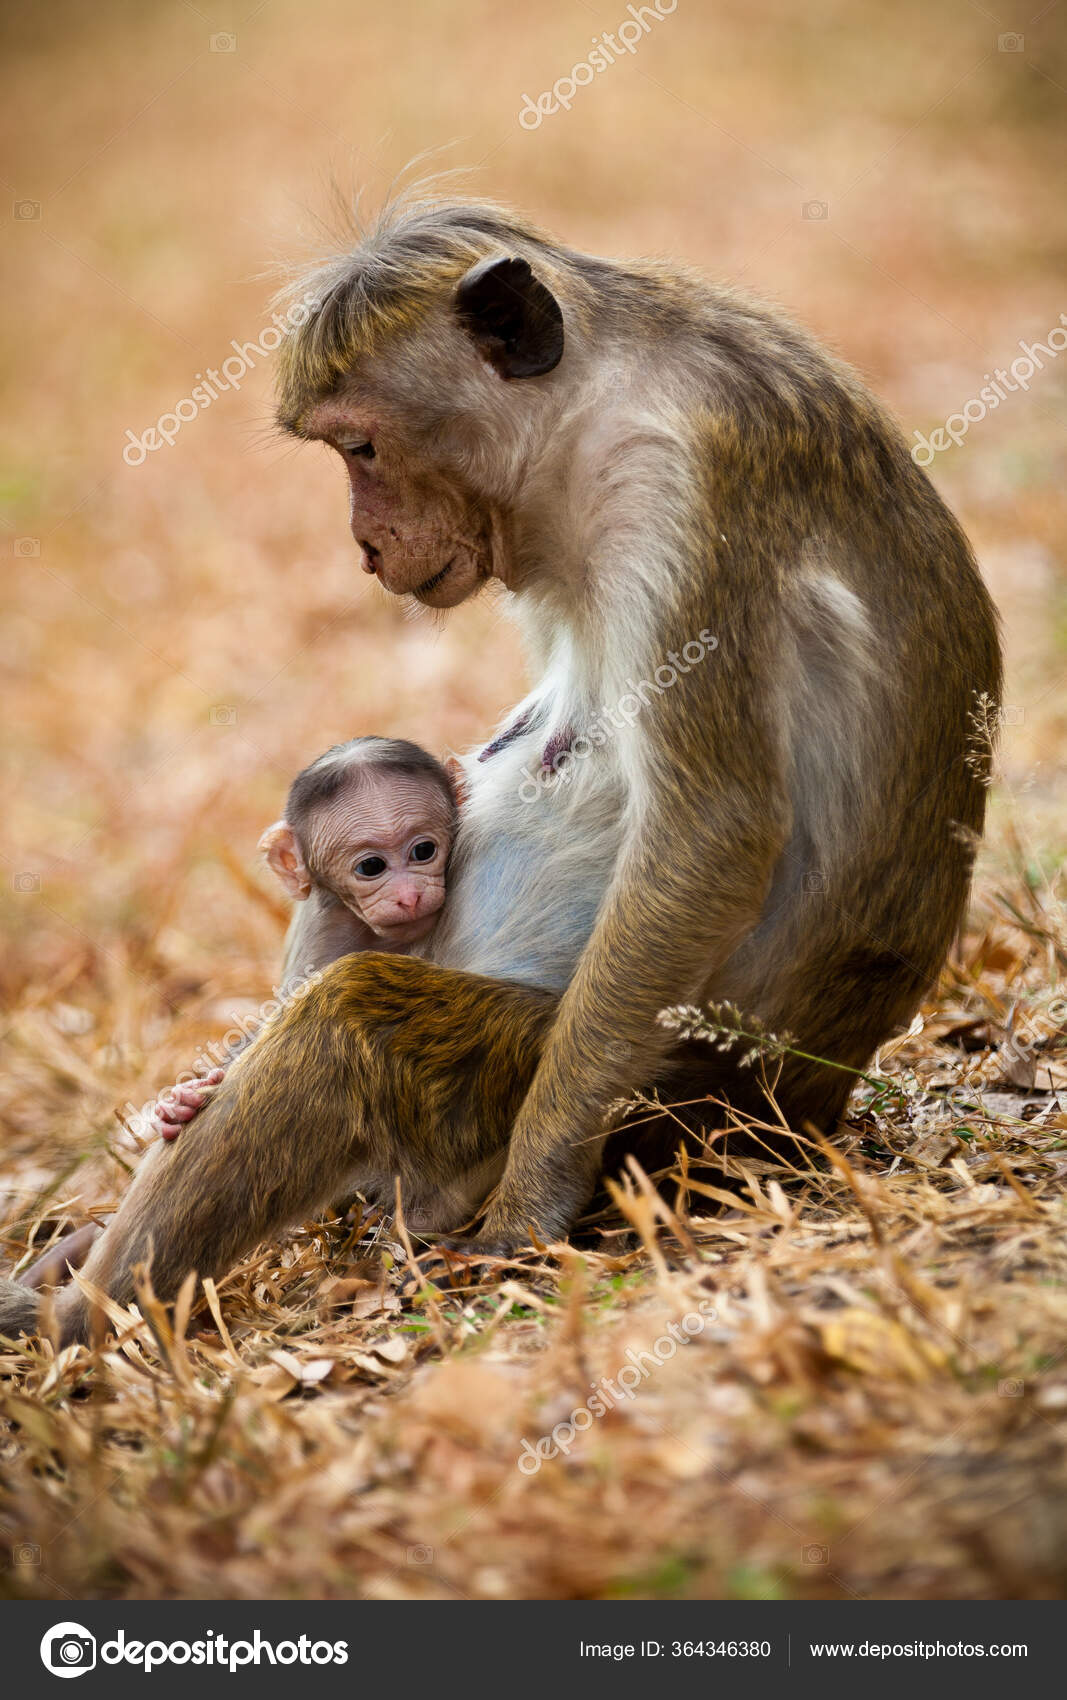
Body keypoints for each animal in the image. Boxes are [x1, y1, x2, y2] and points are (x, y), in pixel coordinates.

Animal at [0, 191, 1001, 1345]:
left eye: (363, 446)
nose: (364, 545)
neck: (606, 396)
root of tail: (803, 1109)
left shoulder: (678, 487)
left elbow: (713, 830)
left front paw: (531, 1202)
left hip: (653, 1111)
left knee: (354, 1017)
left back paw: (76, 1322)